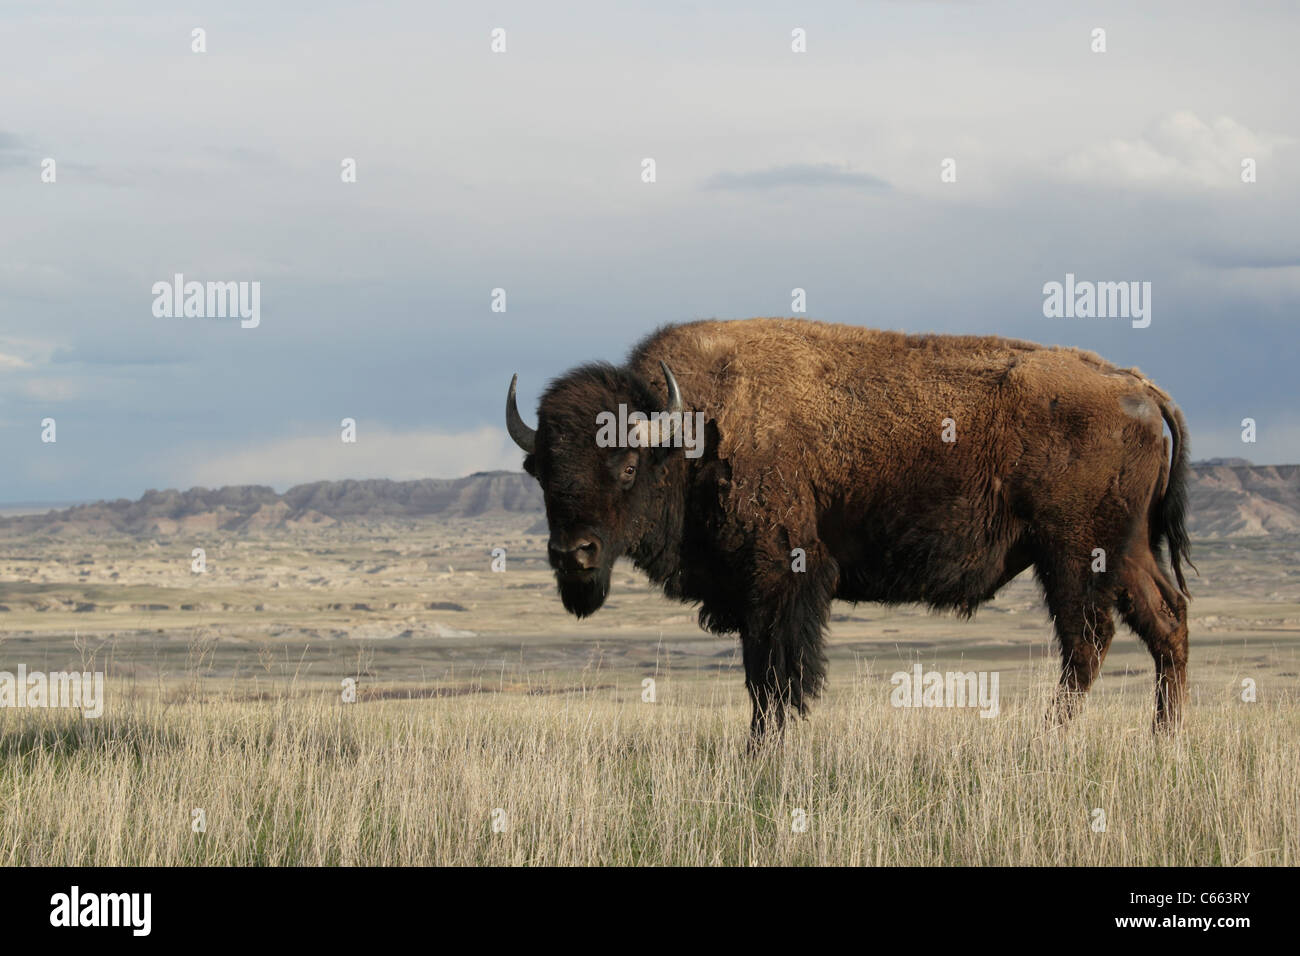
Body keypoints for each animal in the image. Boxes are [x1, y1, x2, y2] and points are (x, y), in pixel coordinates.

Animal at [506, 318, 1193, 737]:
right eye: (539, 470)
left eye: (625, 465)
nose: (574, 554)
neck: (692, 433)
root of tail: (1139, 387)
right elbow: (761, 678)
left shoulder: (780, 583)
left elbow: (775, 679)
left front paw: (764, 751)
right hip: (1127, 551)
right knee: (1166, 623)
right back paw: (1163, 737)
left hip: (1074, 555)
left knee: (1087, 643)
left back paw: (1049, 737)